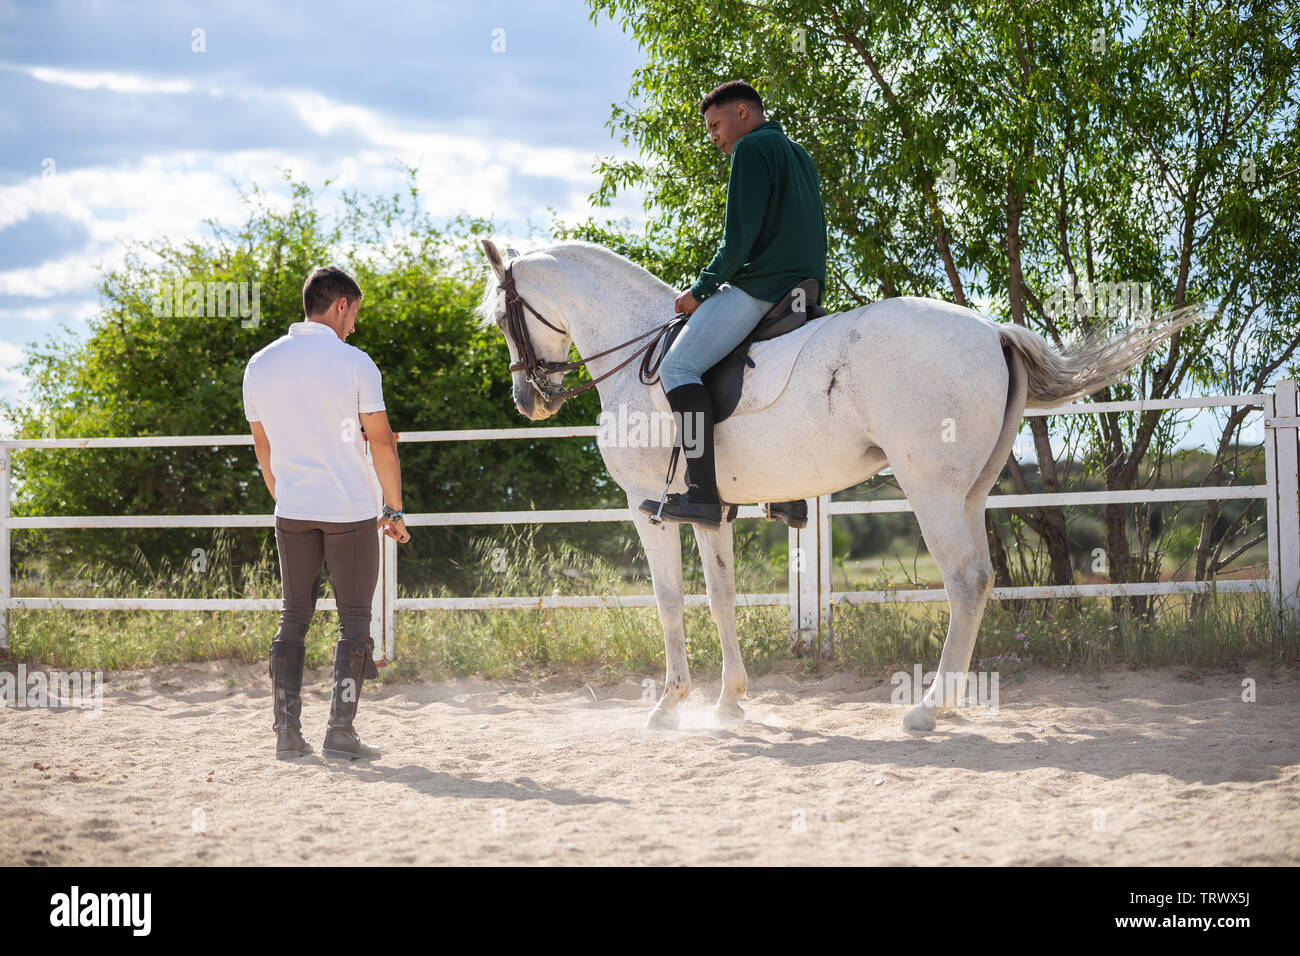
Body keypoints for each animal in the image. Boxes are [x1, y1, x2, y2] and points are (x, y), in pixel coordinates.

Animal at [475, 238, 1201, 732]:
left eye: (504, 319)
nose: (527, 400)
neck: (639, 354)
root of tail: (991, 330)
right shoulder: (710, 512)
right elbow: (722, 597)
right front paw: (729, 701)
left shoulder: (646, 506)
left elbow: (670, 601)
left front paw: (669, 706)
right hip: (968, 494)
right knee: (984, 578)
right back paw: (951, 703)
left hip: (931, 491)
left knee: (966, 581)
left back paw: (927, 710)